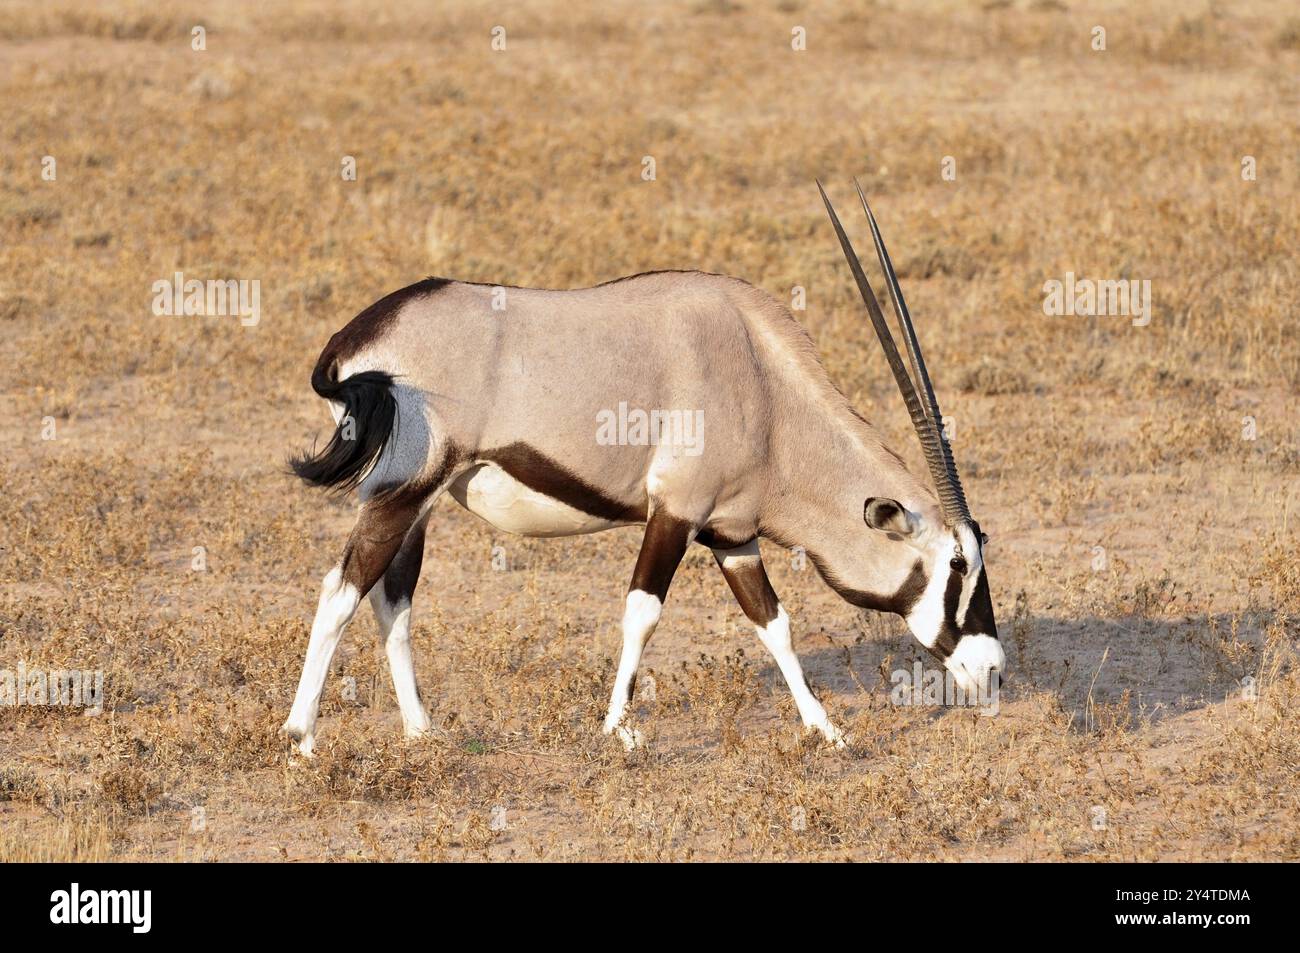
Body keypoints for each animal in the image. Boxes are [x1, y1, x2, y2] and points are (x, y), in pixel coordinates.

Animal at [282, 182, 1003, 755]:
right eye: (956, 568)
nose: (995, 671)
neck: (764, 383)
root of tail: (355, 338)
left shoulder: (732, 534)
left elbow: (774, 623)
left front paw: (826, 729)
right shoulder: (676, 512)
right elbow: (642, 613)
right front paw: (618, 728)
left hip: (419, 503)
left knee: (390, 597)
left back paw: (420, 730)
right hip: (404, 490)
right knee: (341, 589)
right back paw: (301, 738)